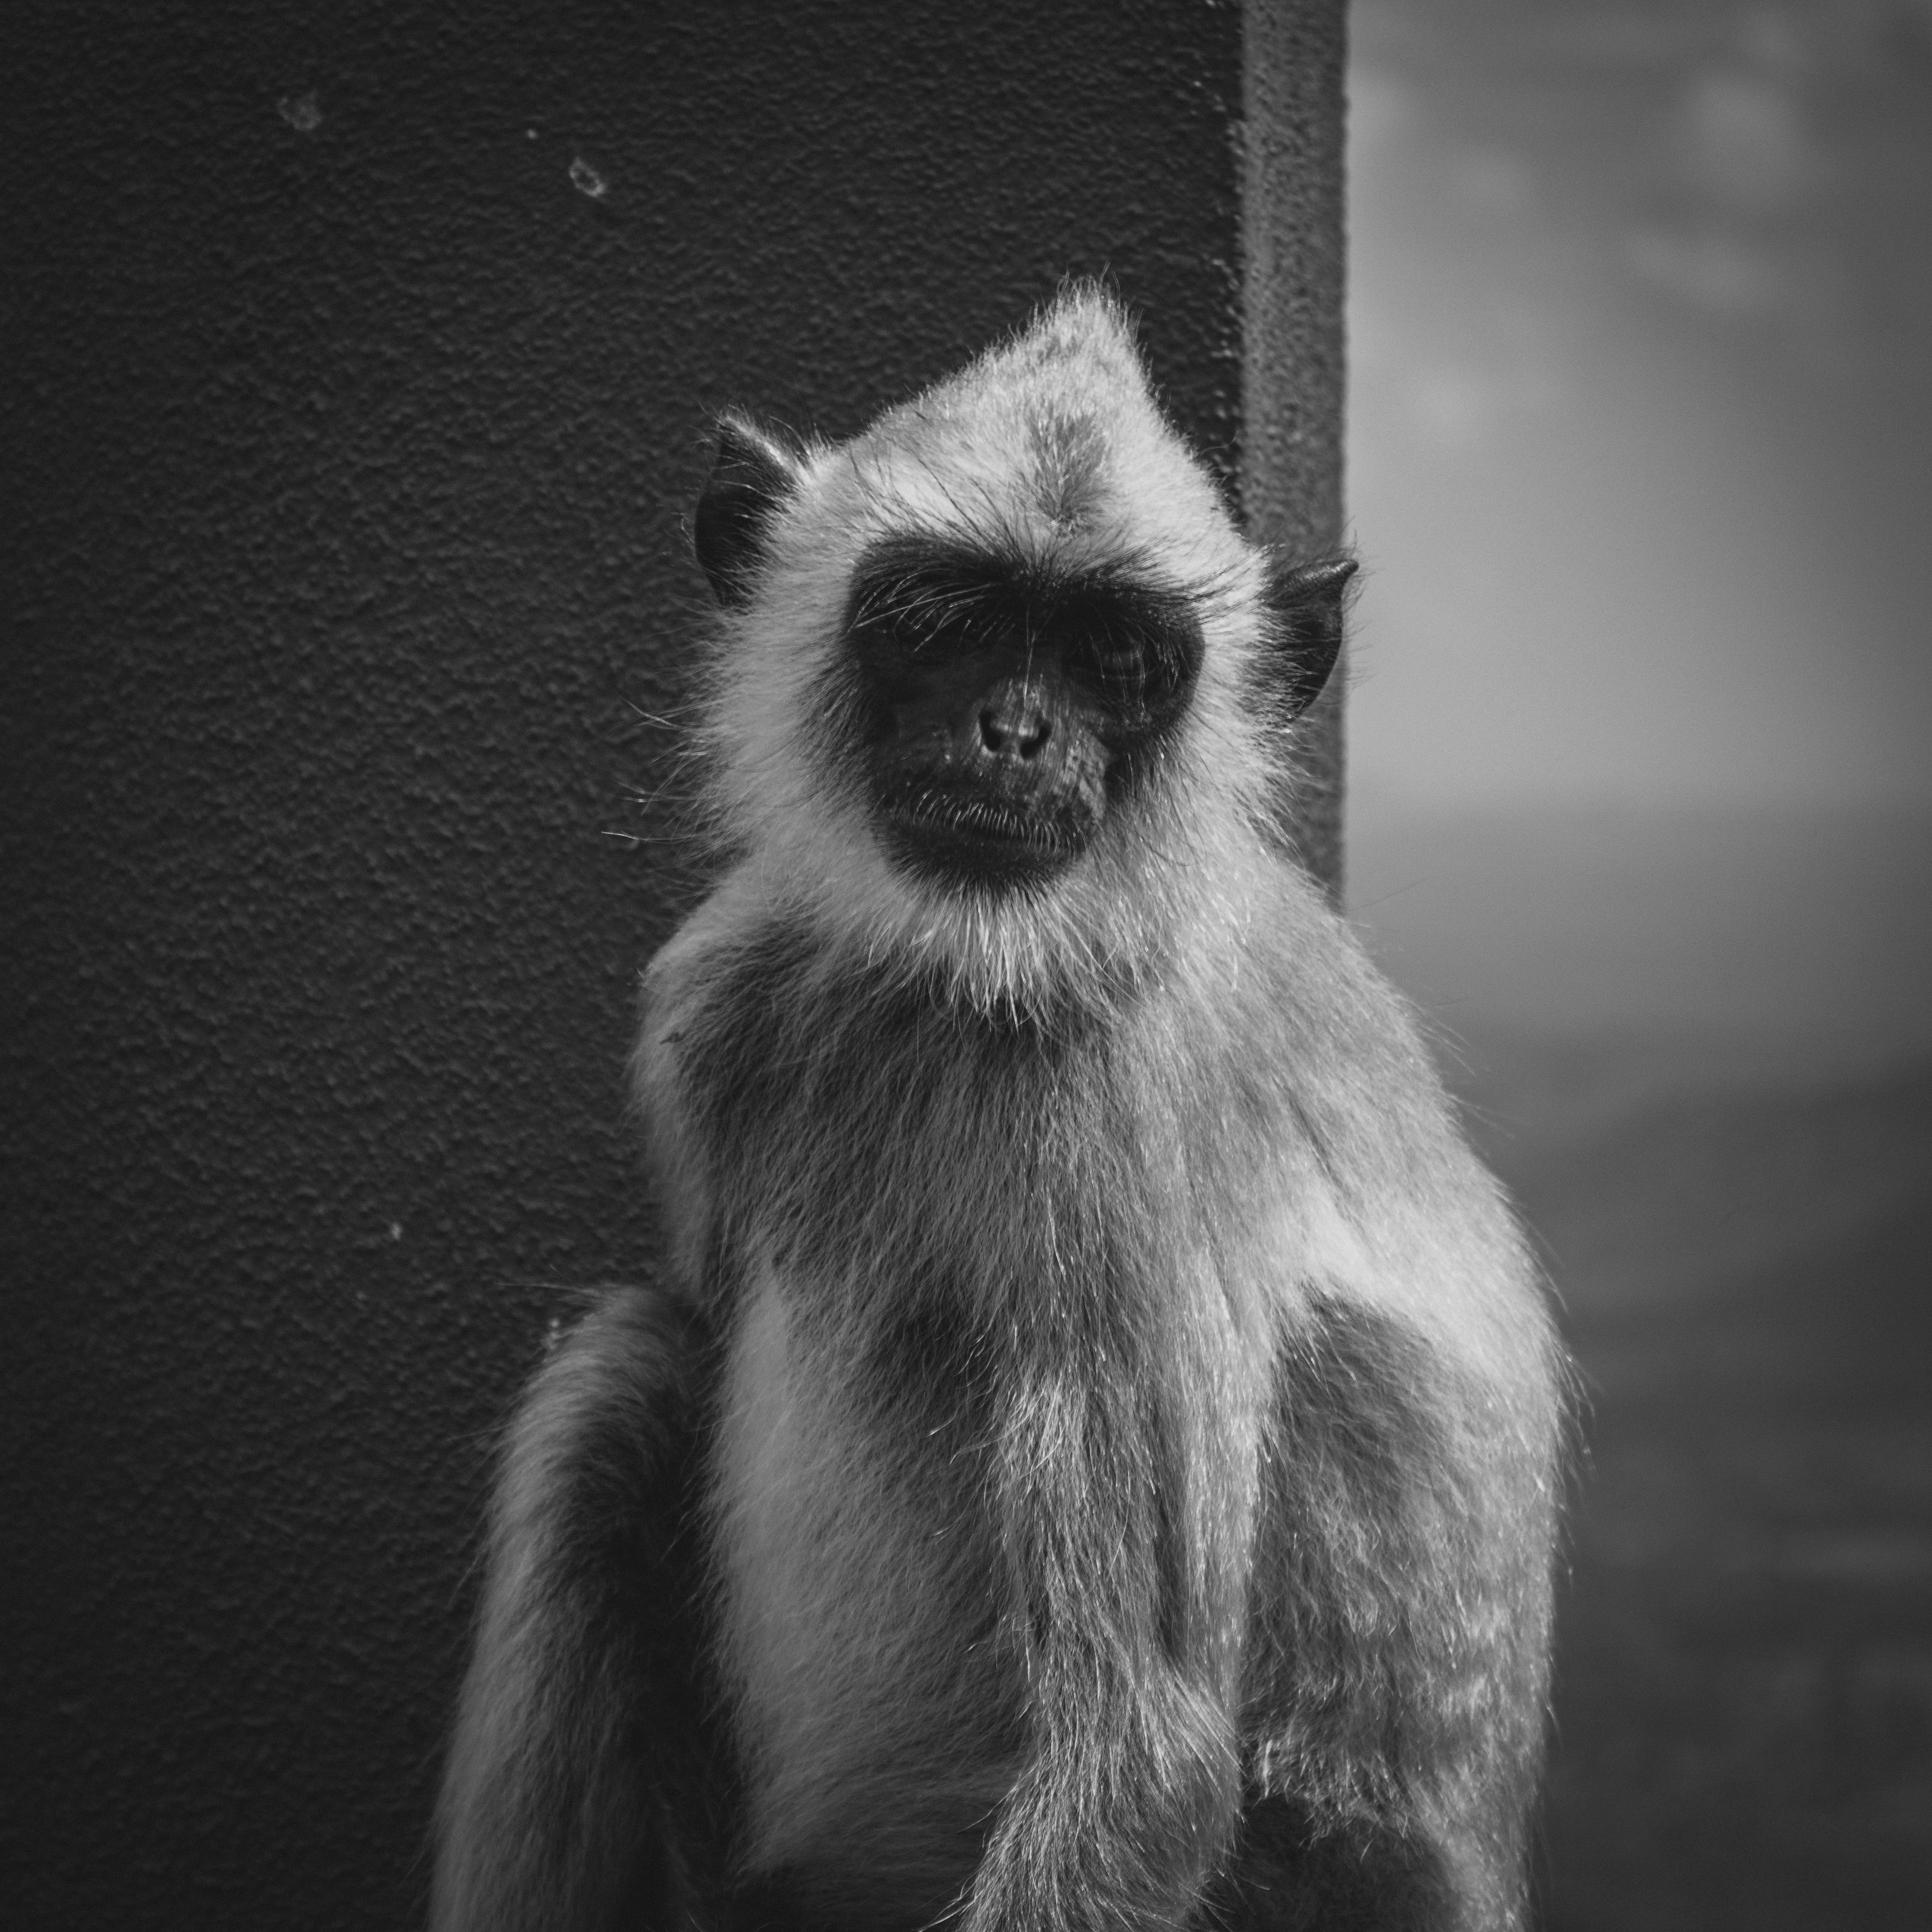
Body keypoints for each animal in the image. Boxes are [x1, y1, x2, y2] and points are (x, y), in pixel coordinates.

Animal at [431, 286, 1566, 1932]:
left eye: (1115, 653)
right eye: (943, 621)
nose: (1018, 734)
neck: (960, 984)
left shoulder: (1124, 1106)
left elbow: (1144, 1765)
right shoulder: (717, 988)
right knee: (626, 1368)